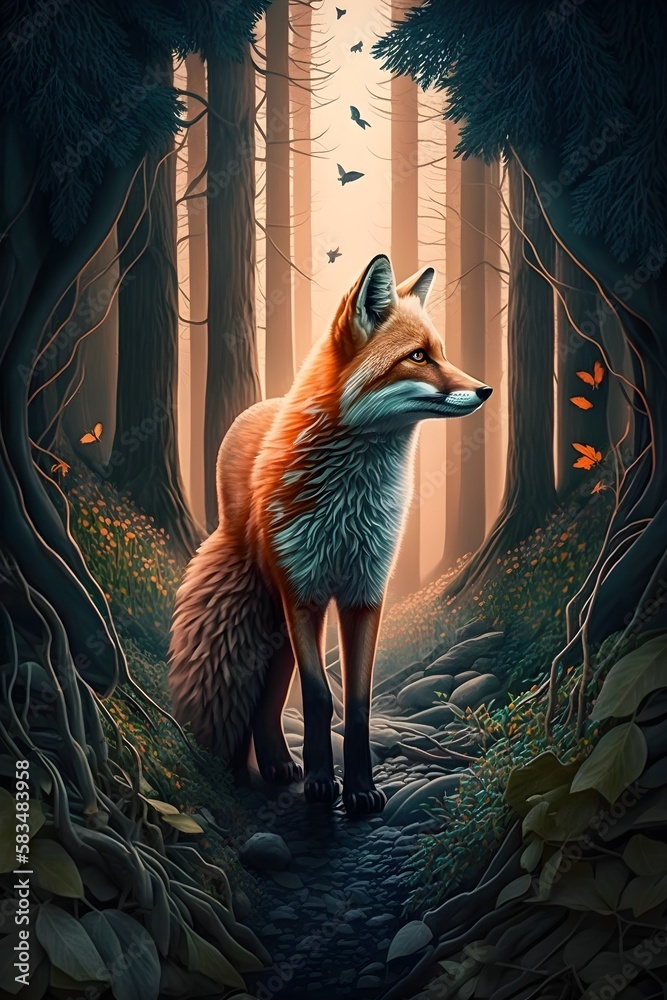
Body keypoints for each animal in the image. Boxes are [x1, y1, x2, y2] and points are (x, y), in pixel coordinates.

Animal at [169, 254, 491, 815]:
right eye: (418, 356)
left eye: (442, 354)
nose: (486, 390)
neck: (349, 507)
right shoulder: (305, 593)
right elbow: (319, 697)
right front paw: (323, 782)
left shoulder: (366, 593)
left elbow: (358, 703)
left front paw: (360, 788)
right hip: (277, 604)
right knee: (274, 693)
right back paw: (279, 766)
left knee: (270, 696)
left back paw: (277, 762)